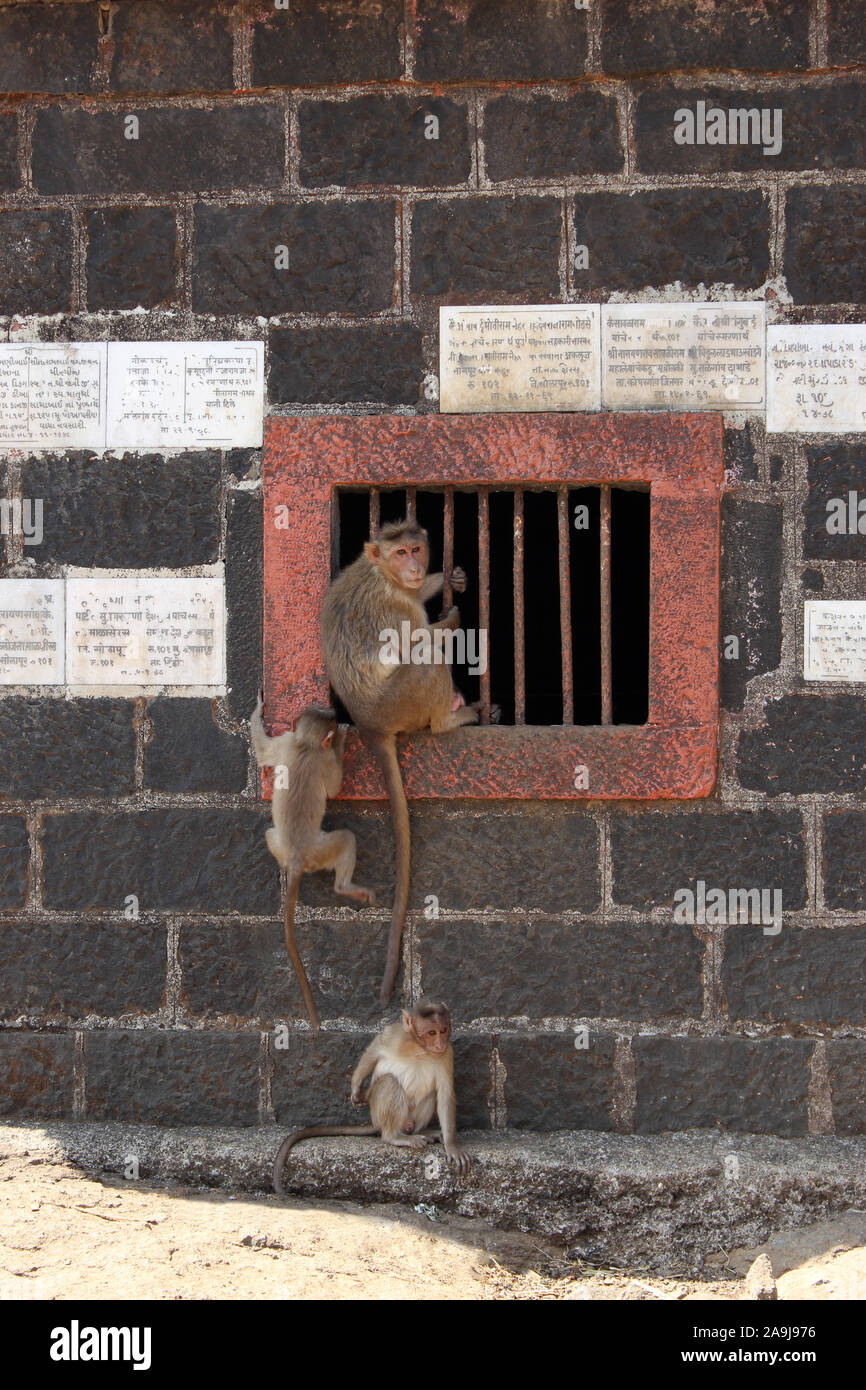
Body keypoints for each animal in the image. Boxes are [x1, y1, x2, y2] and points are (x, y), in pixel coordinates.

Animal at [251, 696, 375, 1033]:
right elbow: (334, 787)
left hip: (280, 843)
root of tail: (296, 858)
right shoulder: (321, 760)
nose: (332, 709)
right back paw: (345, 887)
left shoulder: (285, 742)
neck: (305, 744)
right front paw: (342, 740)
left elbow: (264, 752)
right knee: (346, 839)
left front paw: (257, 711)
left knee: (270, 833)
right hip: (321, 851)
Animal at [272, 999, 470, 1195]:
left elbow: (445, 1093)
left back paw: (420, 1132)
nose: (440, 1044)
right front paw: (356, 1088)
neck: (420, 1048)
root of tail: (376, 1122)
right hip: (379, 1112)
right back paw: (394, 1137)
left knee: (430, 1094)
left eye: (443, 1030)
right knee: (389, 1082)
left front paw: (451, 1145)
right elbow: (375, 1048)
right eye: (431, 1032)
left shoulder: (447, 1054)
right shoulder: (395, 1035)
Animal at [321, 520, 481, 1005]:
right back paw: (449, 718)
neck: (384, 577)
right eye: (399, 553)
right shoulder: (397, 609)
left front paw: (446, 579)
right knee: (425, 661)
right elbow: (420, 641)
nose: (413, 567)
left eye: (415, 549)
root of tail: (370, 725)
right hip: (401, 700)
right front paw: (452, 618)